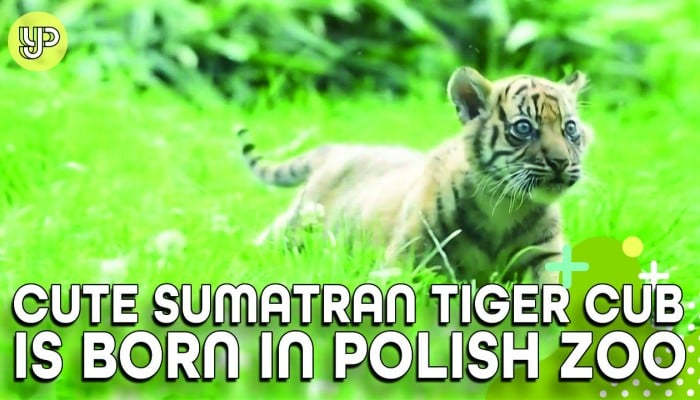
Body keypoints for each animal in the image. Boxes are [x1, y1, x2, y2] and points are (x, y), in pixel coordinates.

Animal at [237, 66, 593, 286]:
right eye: (523, 128)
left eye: (570, 129)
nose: (561, 162)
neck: (504, 206)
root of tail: (336, 149)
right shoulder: (405, 258)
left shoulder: (547, 255)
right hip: (292, 226)